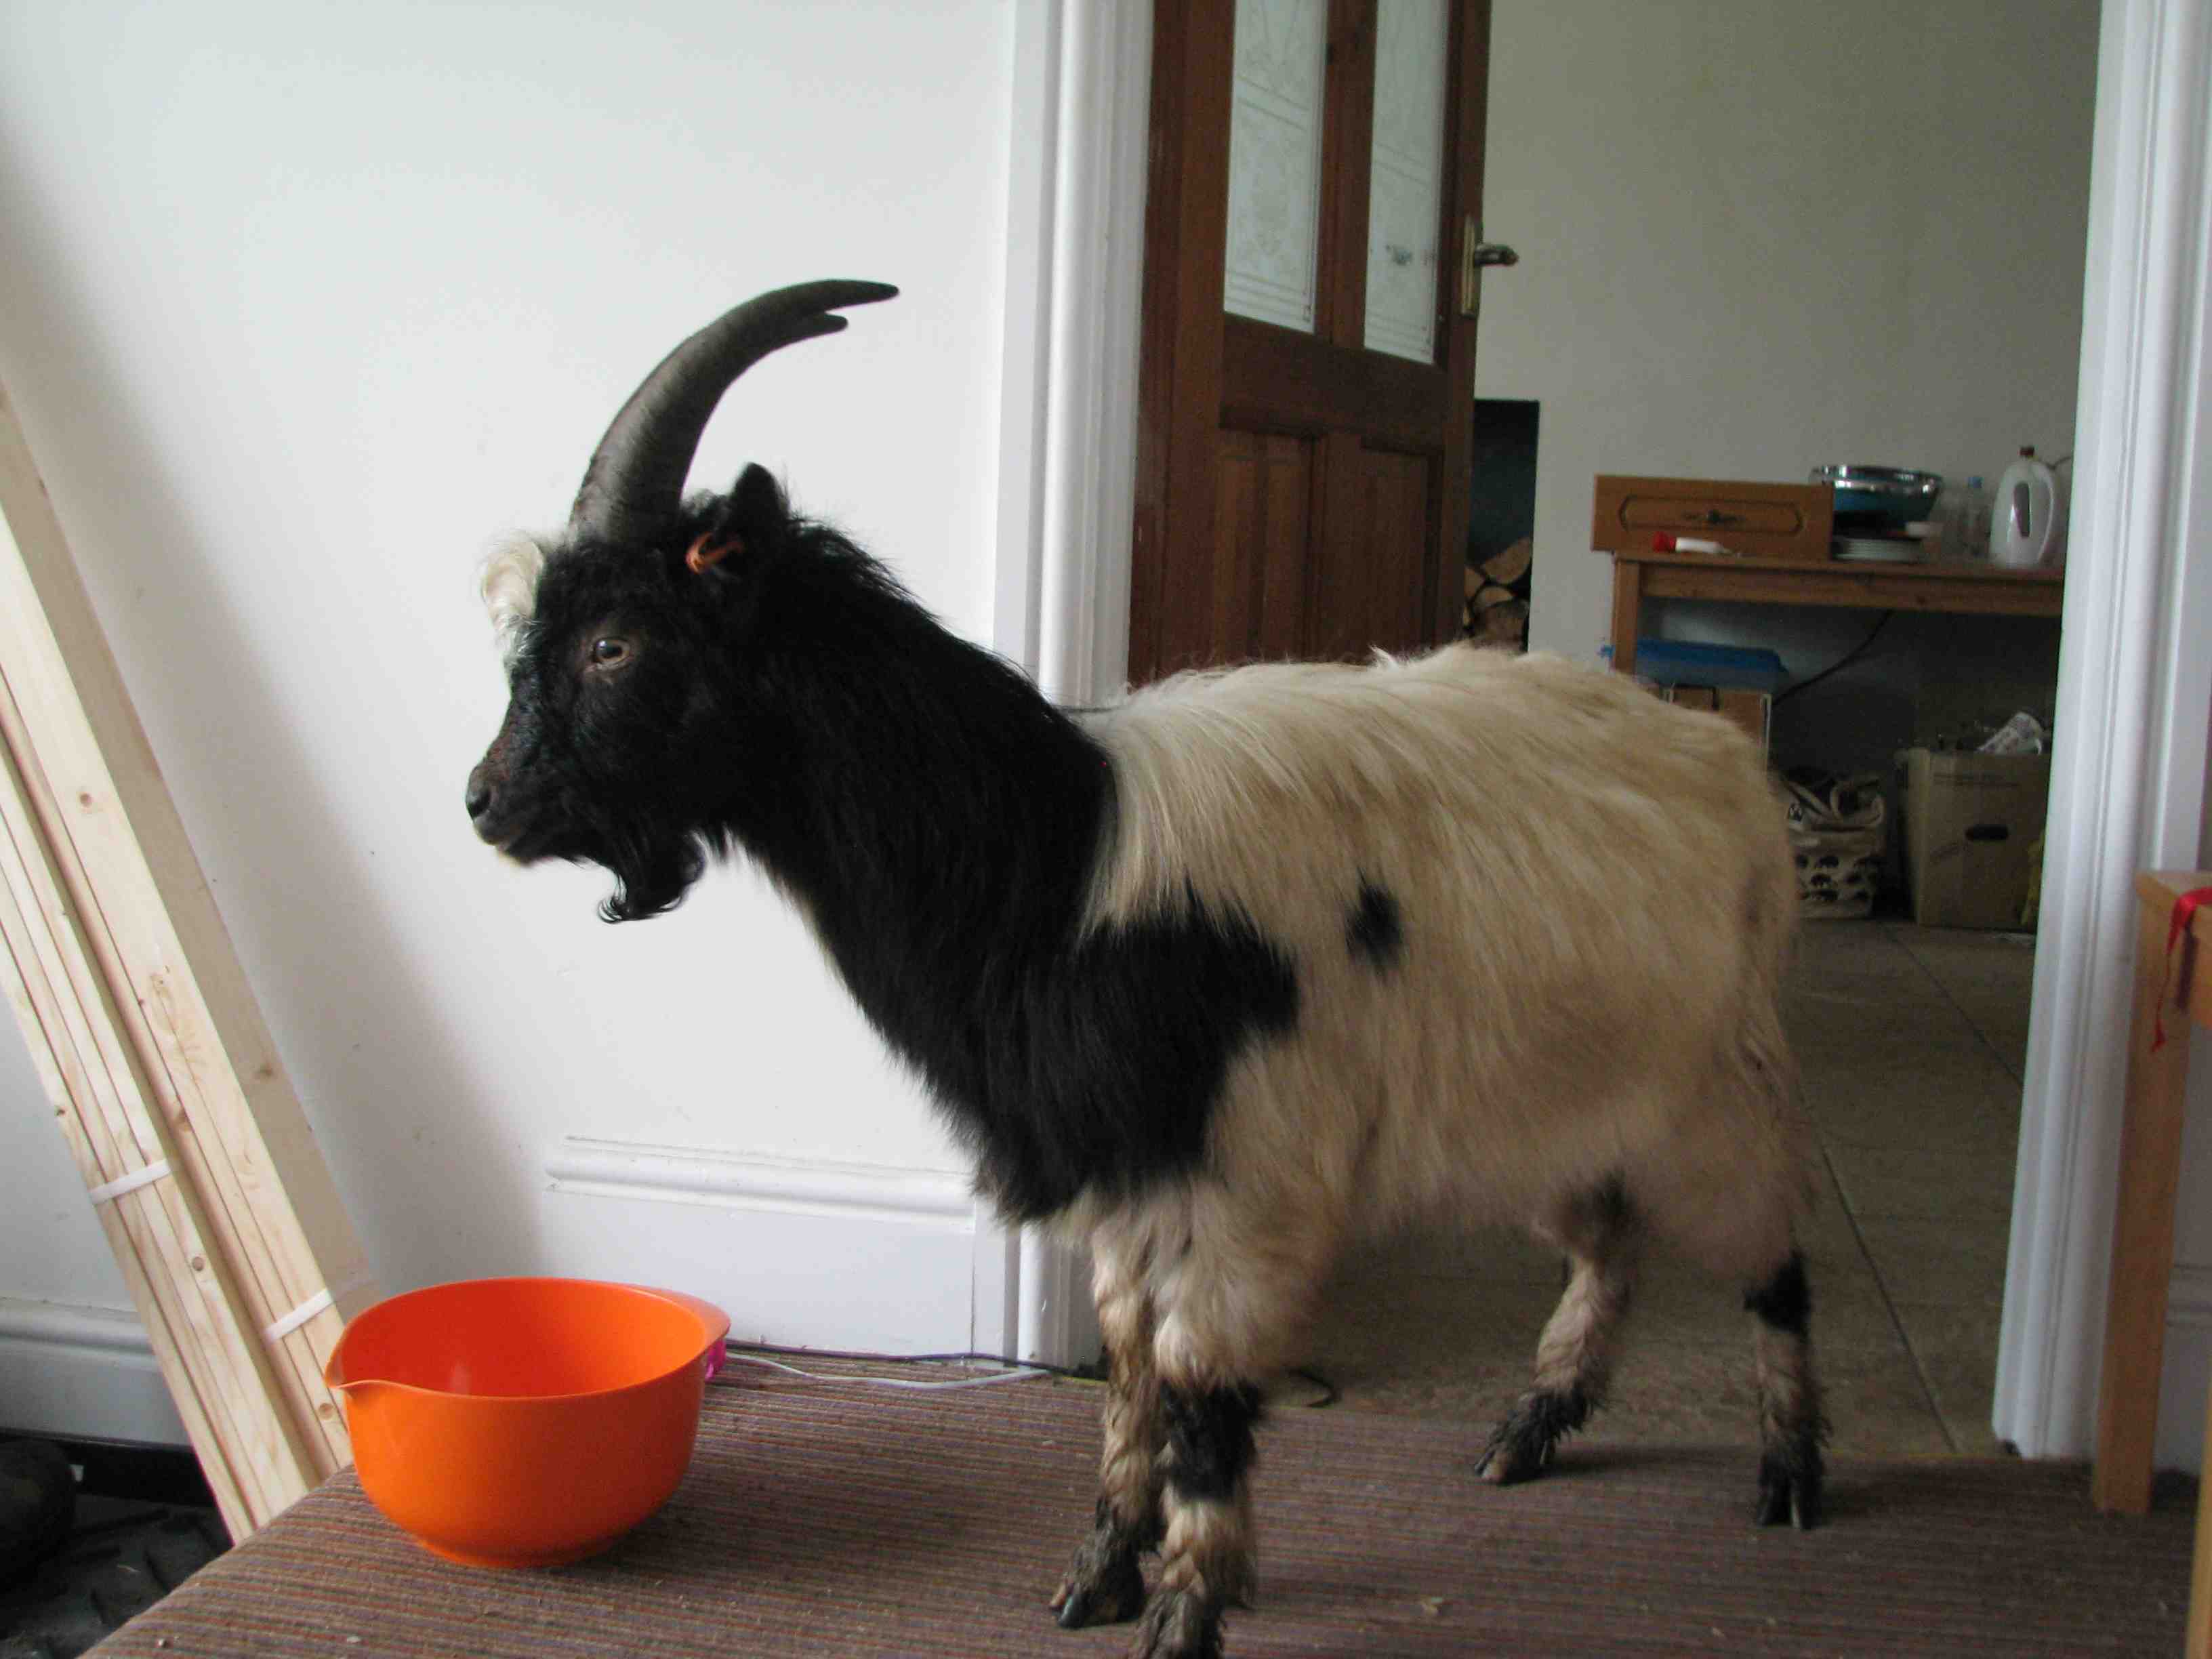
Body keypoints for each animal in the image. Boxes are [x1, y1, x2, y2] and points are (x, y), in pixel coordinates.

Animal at [466, 281, 1824, 1659]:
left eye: (613, 644)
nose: (486, 803)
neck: (1048, 861)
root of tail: (1734, 774)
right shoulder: (1128, 1178)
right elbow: (1127, 1380)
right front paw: (1099, 1573)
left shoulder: (1239, 1185)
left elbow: (1203, 1397)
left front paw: (1184, 1609)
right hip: (1552, 1108)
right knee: (1607, 1244)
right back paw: (1530, 1429)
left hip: (1712, 1094)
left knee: (1773, 1255)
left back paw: (1791, 1474)